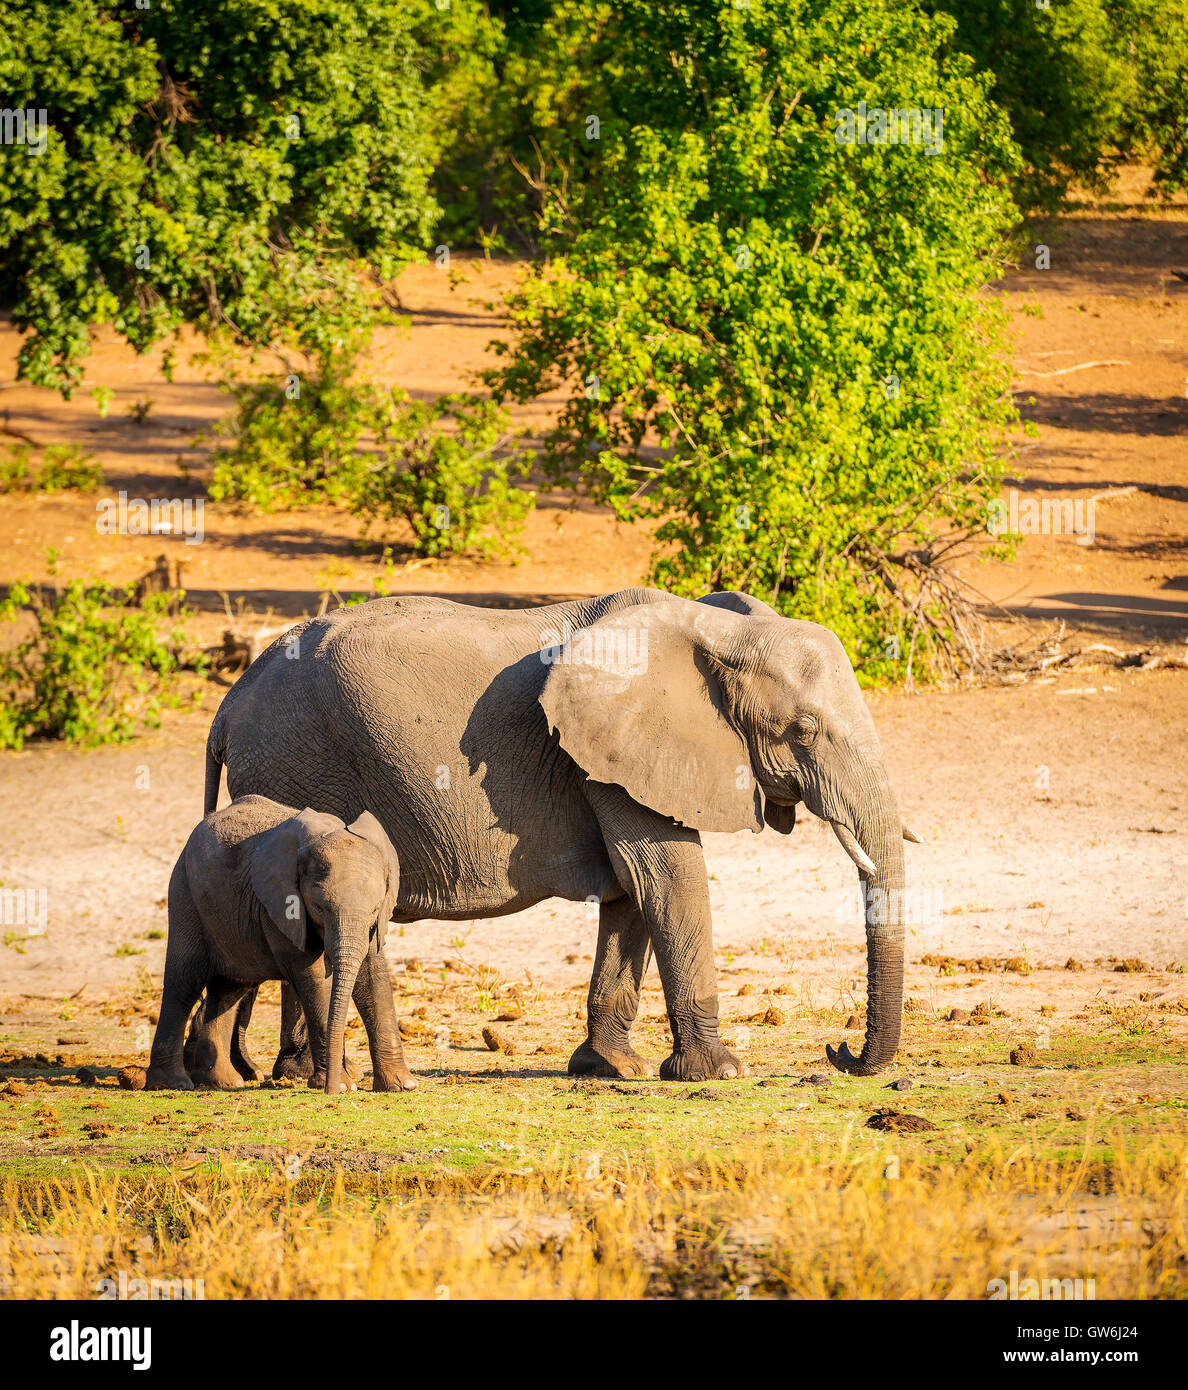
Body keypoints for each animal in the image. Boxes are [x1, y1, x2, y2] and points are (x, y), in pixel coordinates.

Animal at [146, 795, 416, 1094]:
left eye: (375, 909)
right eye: (318, 907)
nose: (332, 1089)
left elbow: (372, 973)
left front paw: (401, 1085)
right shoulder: (281, 906)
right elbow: (311, 976)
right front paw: (344, 1086)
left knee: (230, 988)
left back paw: (222, 1082)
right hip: (184, 893)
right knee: (185, 981)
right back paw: (173, 1083)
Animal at [205, 587, 914, 1082]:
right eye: (803, 730)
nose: (841, 1052)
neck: (714, 629)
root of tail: (228, 703)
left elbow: (632, 889)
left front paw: (612, 1069)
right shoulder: (608, 750)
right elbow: (667, 874)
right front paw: (721, 1072)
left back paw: (295, 1073)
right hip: (296, 765)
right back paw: (312, 1074)